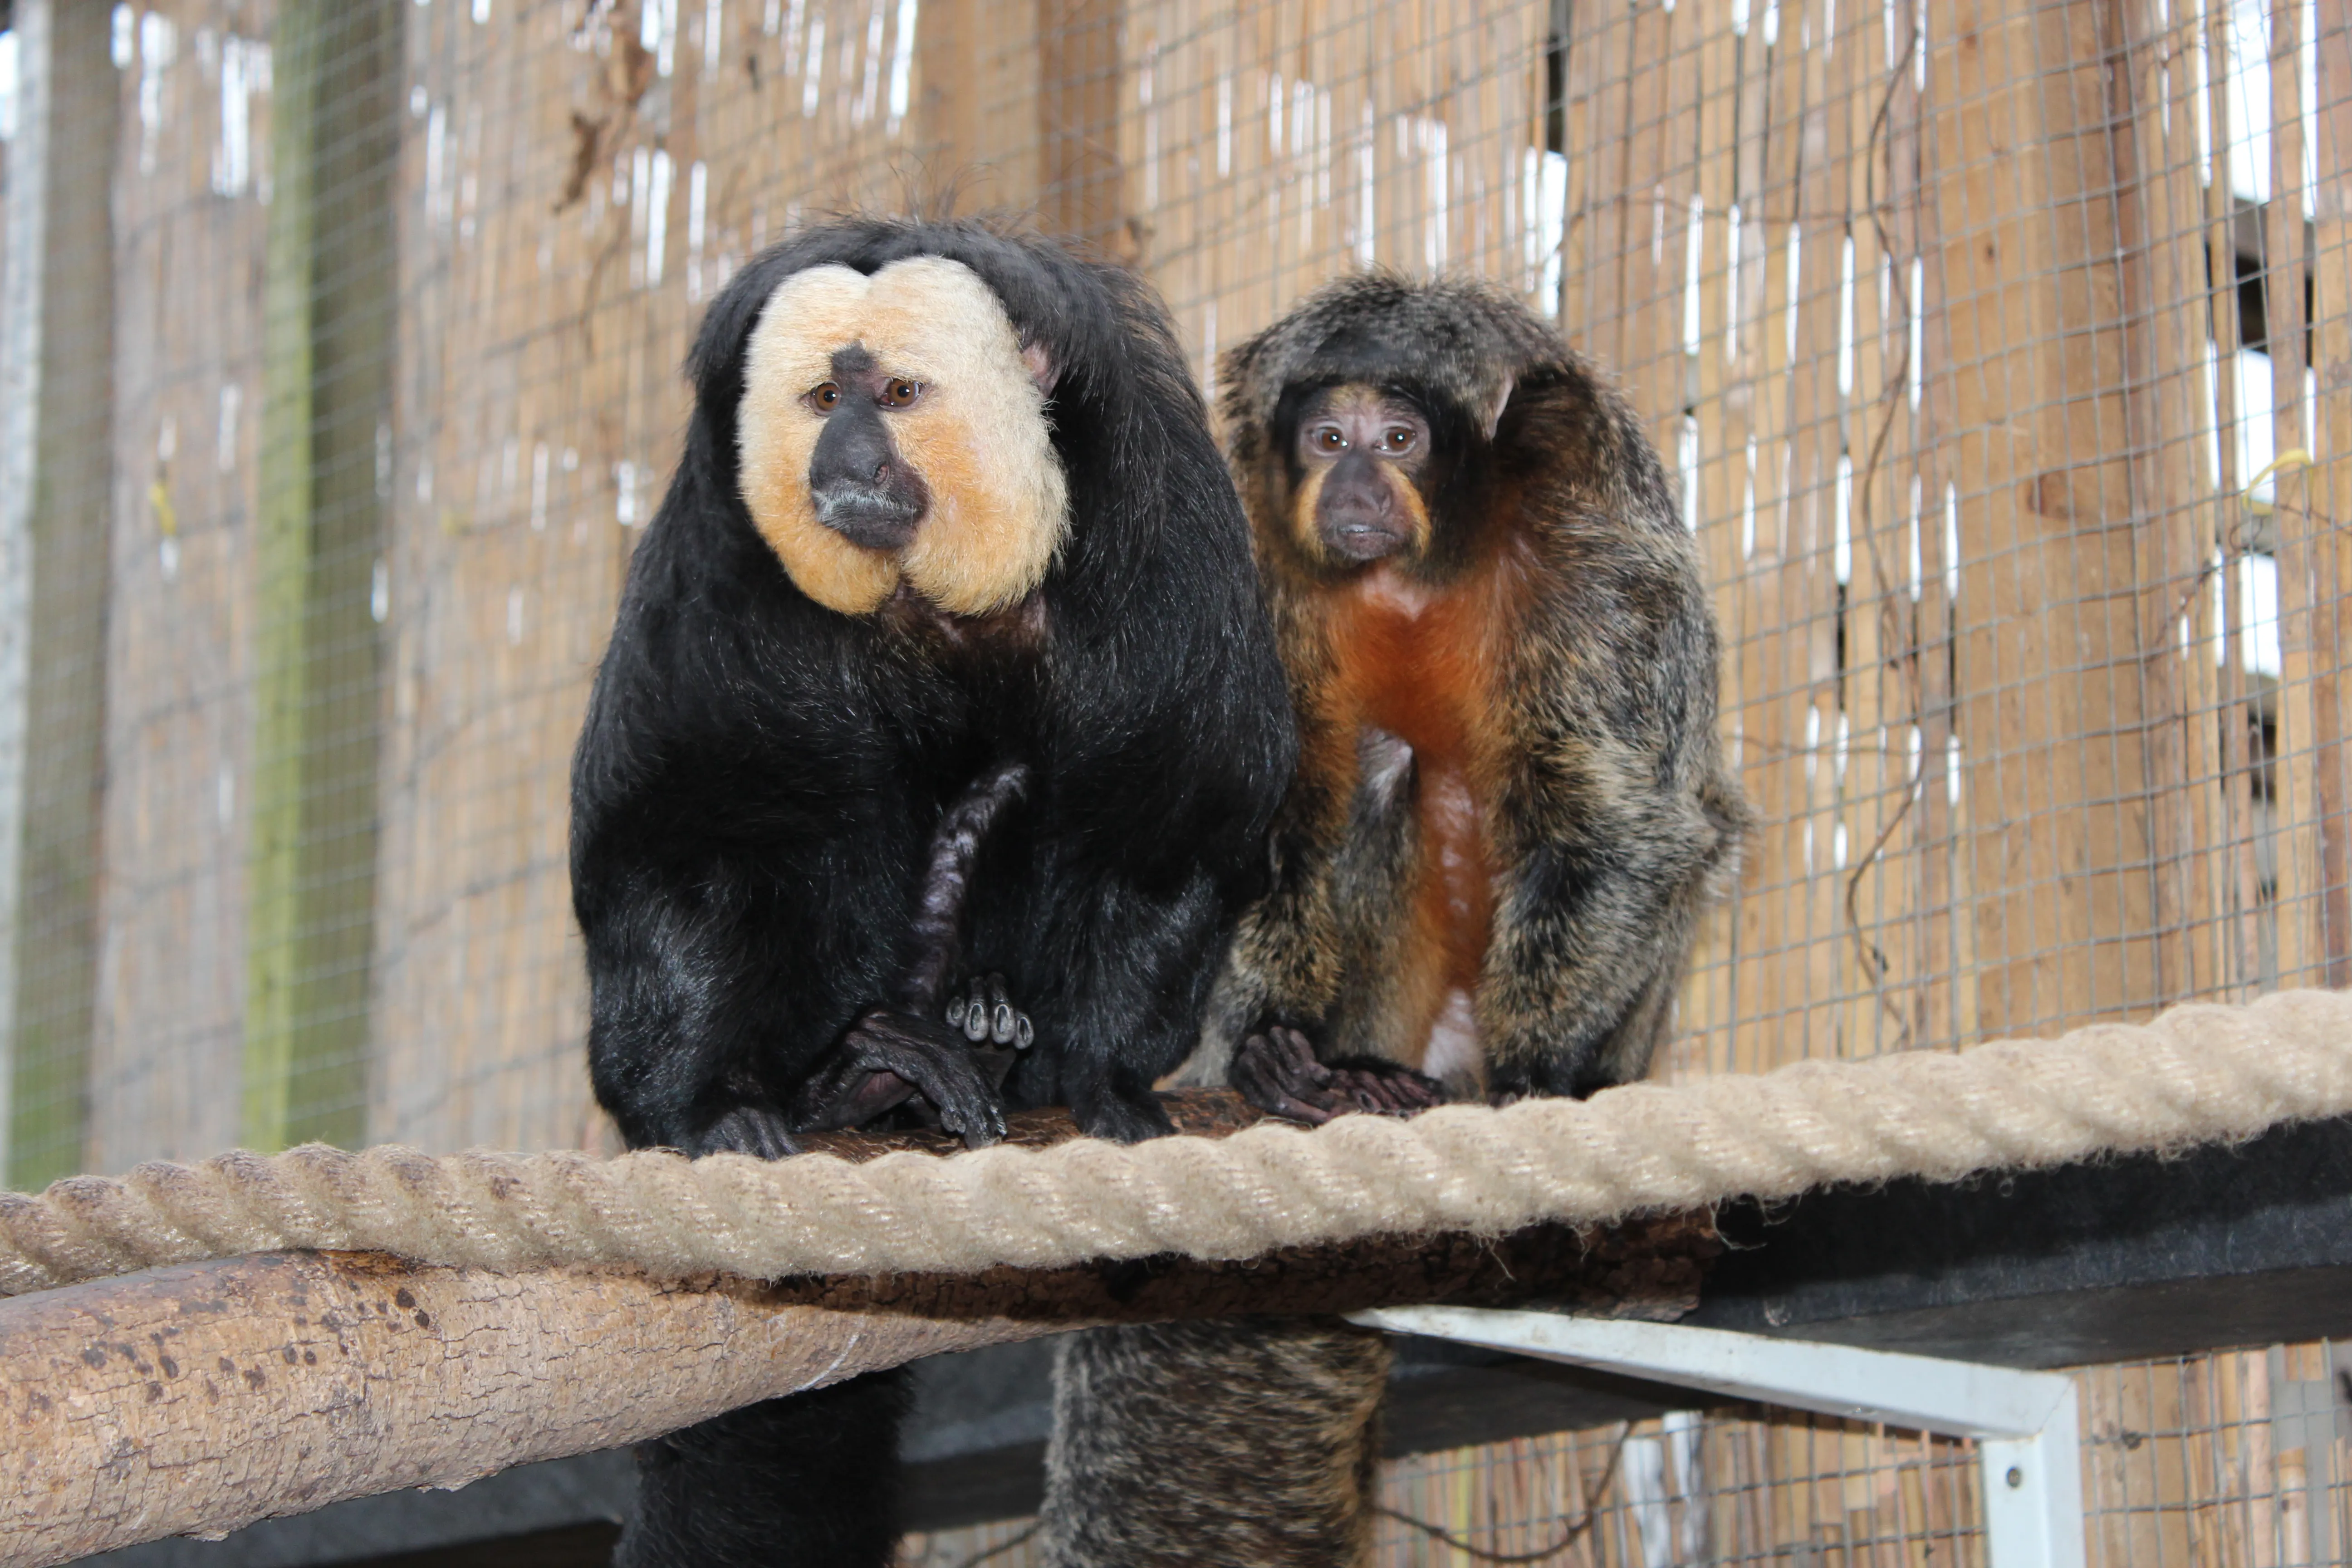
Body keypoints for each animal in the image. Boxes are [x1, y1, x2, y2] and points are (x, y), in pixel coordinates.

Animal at [569, 218, 1296, 1568]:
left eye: (899, 396)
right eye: (820, 400)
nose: (846, 459)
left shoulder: (1164, 548)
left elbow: (1168, 815)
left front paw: (1101, 1076)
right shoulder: (713, 562)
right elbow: (677, 838)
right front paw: (714, 1104)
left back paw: (980, 1022)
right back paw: (864, 1066)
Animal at [1037, 274, 1747, 1568]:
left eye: (1401, 438)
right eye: (1329, 438)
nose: (1358, 482)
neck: (1419, 574)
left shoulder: (1597, 552)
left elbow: (1621, 820)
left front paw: (1538, 1073)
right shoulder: (1253, 564)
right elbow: (1261, 818)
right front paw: (1272, 1037)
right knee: (1377, 774)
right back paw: (1345, 1067)